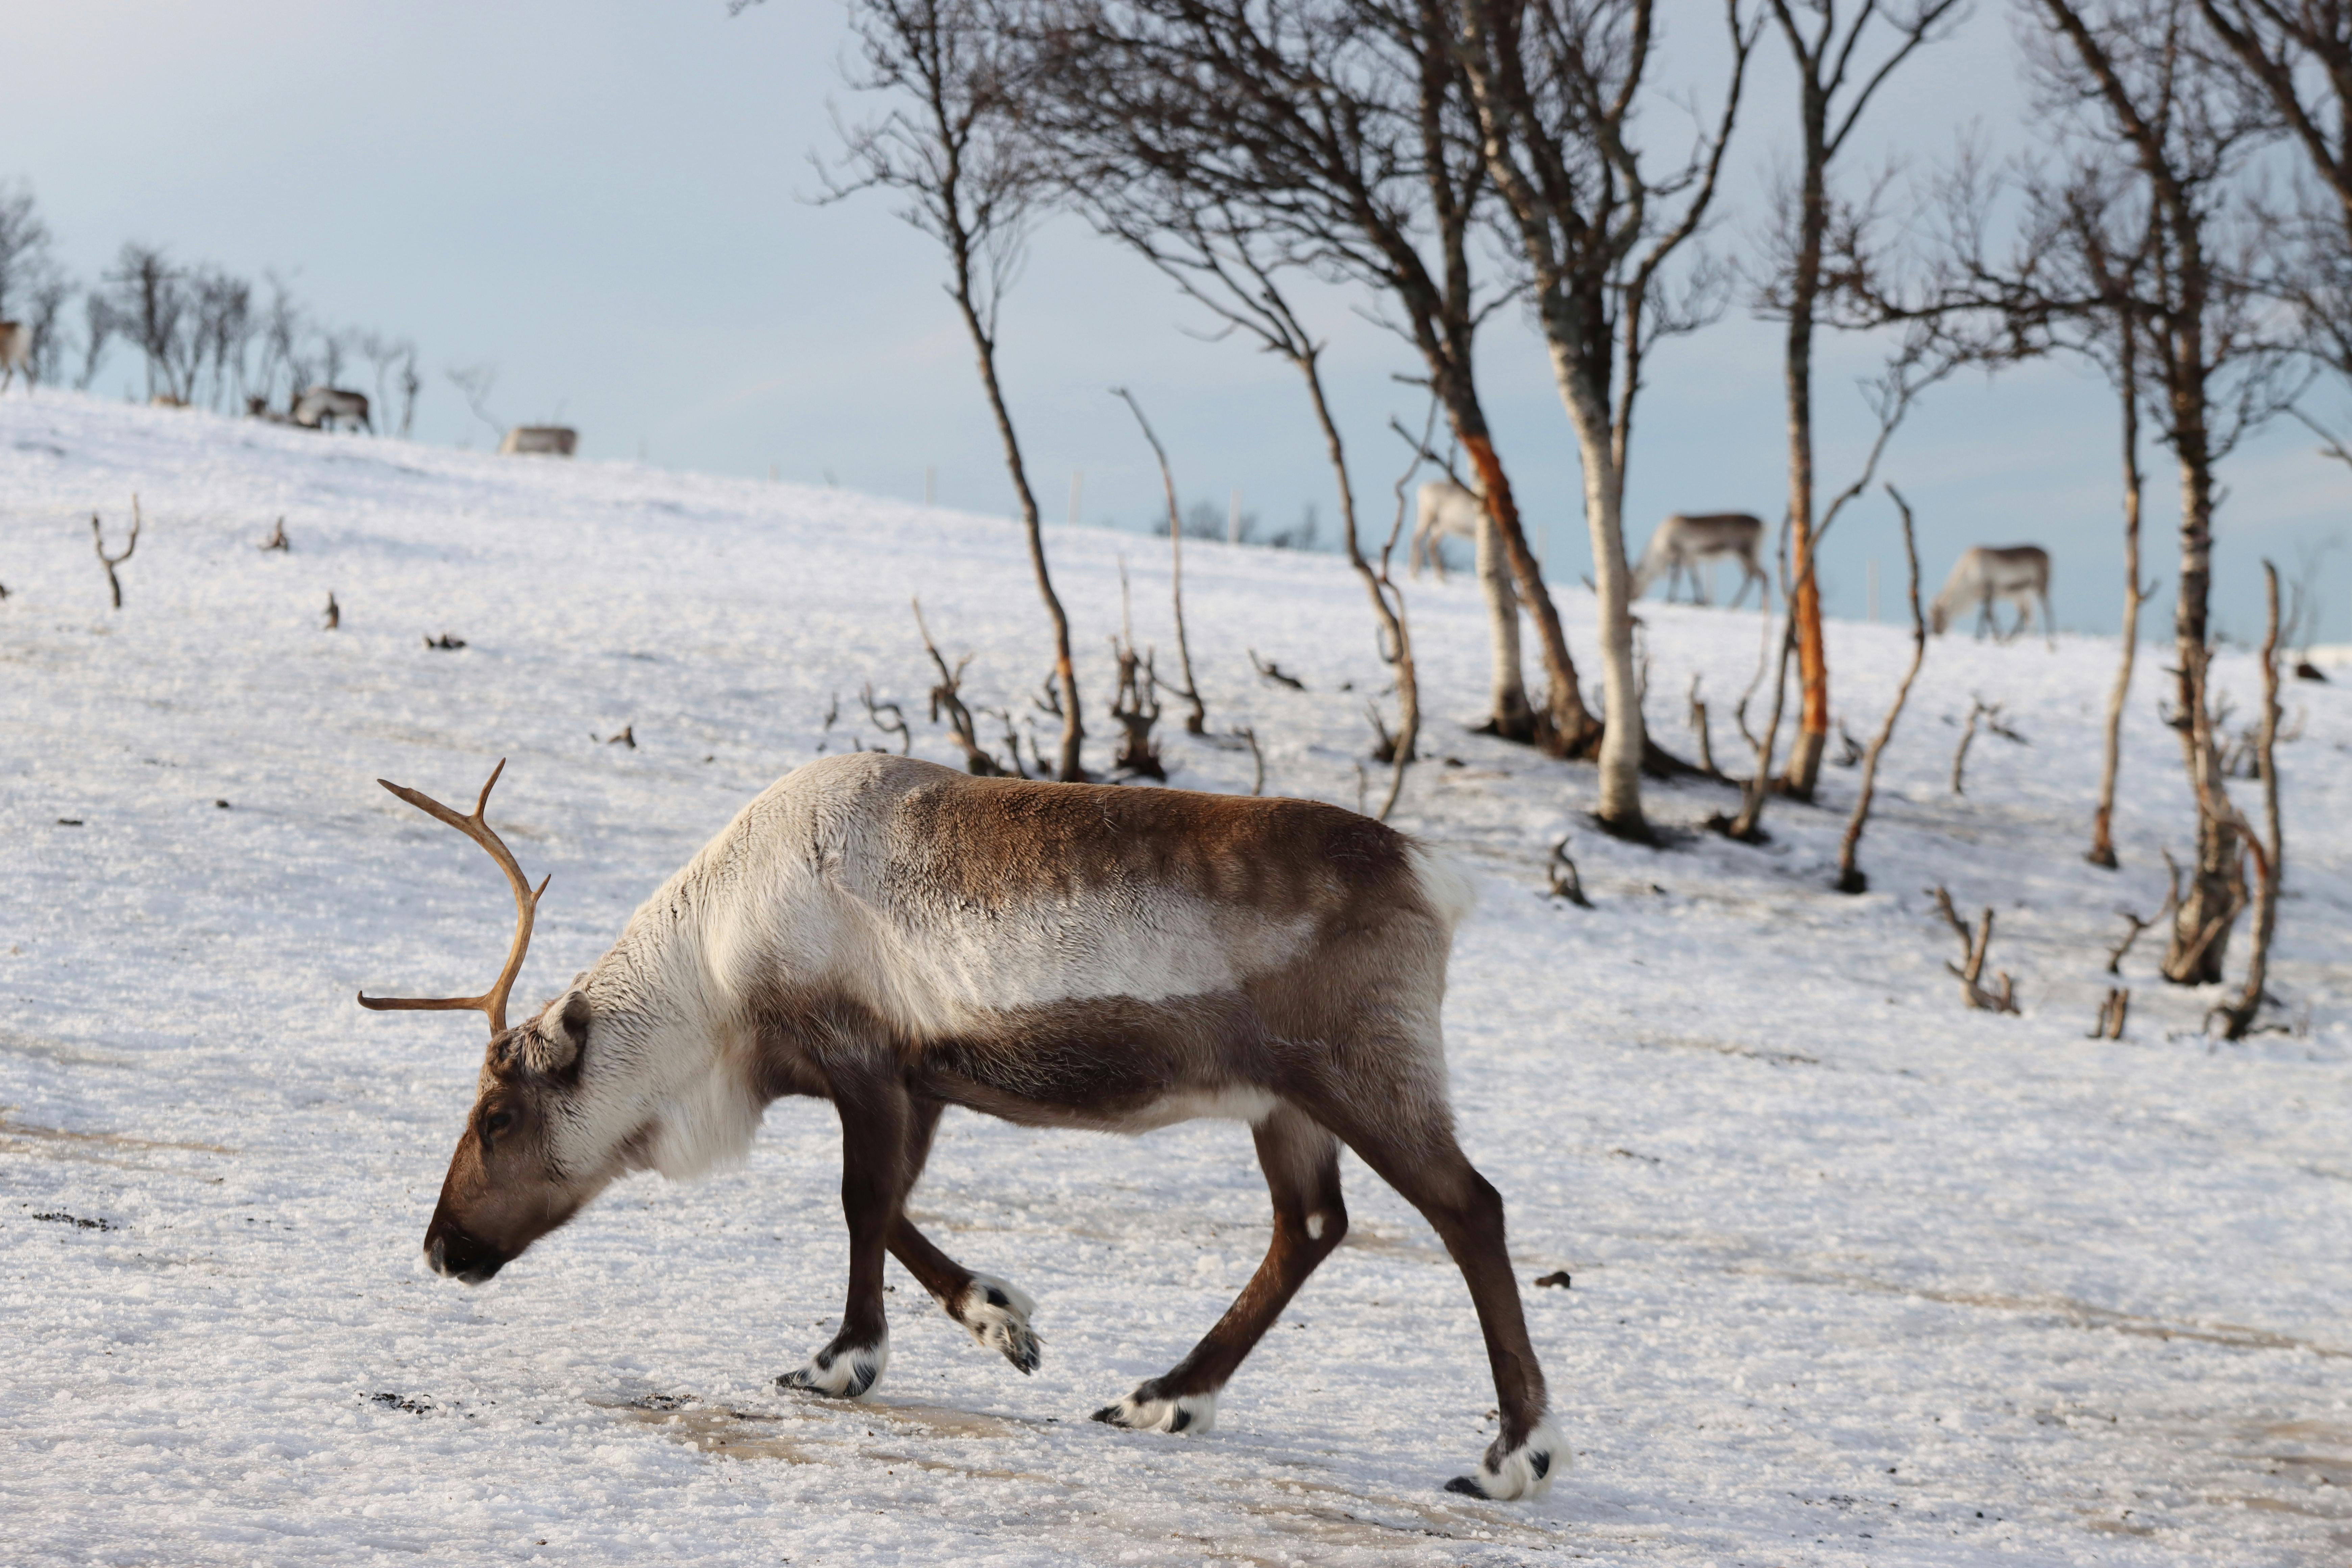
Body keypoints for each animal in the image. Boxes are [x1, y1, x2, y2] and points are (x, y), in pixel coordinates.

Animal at [359, 753, 1564, 1502]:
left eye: (498, 1113)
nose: (440, 1247)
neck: (717, 978)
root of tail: (1434, 876)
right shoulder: (921, 1079)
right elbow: (895, 1206)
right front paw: (1000, 1316)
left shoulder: (861, 1062)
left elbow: (859, 1201)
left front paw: (840, 1362)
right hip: (1285, 1104)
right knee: (1310, 1226)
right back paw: (1161, 1398)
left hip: (1362, 1072)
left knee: (1469, 1207)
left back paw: (1512, 1455)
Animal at [1630, 513, 1768, 608]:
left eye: (1633, 582)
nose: (1633, 598)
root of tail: (1763, 524)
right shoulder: (1691, 558)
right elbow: (1695, 580)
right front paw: (1700, 601)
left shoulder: (1681, 554)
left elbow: (1676, 578)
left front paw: (1670, 599)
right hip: (1748, 555)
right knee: (1756, 575)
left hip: (1746, 552)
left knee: (1759, 575)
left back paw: (1738, 605)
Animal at [1929, 545, 2052, 646]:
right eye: (1931, 617)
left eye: (1941, 616)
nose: (1936, 632)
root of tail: (2047, 554)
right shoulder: (1984, 596)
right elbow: (1985, 615)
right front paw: (1981, 637)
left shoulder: (1989, 590)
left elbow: (1989, 615)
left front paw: (1994, 637)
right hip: (2021, 595)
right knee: (2025, 614)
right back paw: (2012, 638)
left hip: (2039, 586)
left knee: (2045, 610)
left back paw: (2050, 642)